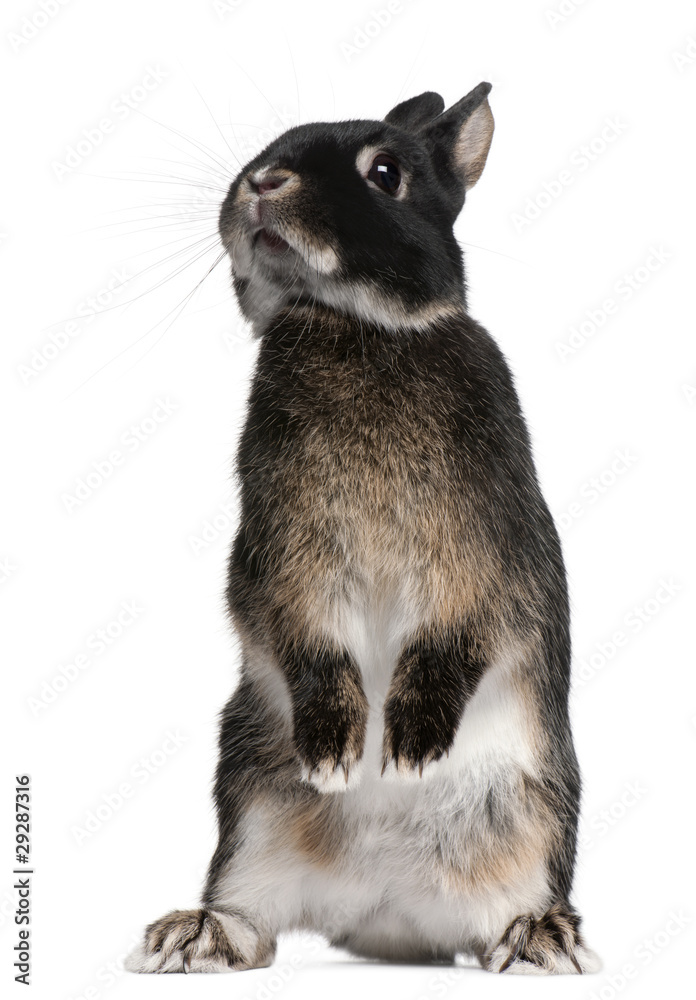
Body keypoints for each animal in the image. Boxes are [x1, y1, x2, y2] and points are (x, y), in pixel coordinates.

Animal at [126, 82, 600, 976]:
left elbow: (456, 633)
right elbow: (306, 638)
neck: (355, 323)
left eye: (385, 172)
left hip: (534, 810)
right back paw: (194, 935)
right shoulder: (284, 557)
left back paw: (542, 939)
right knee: (249, 910)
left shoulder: (480, 554)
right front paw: (336, 756)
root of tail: (388, 908)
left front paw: (408, 748)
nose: (264, 181)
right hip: (253, 802)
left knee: (520, 892)